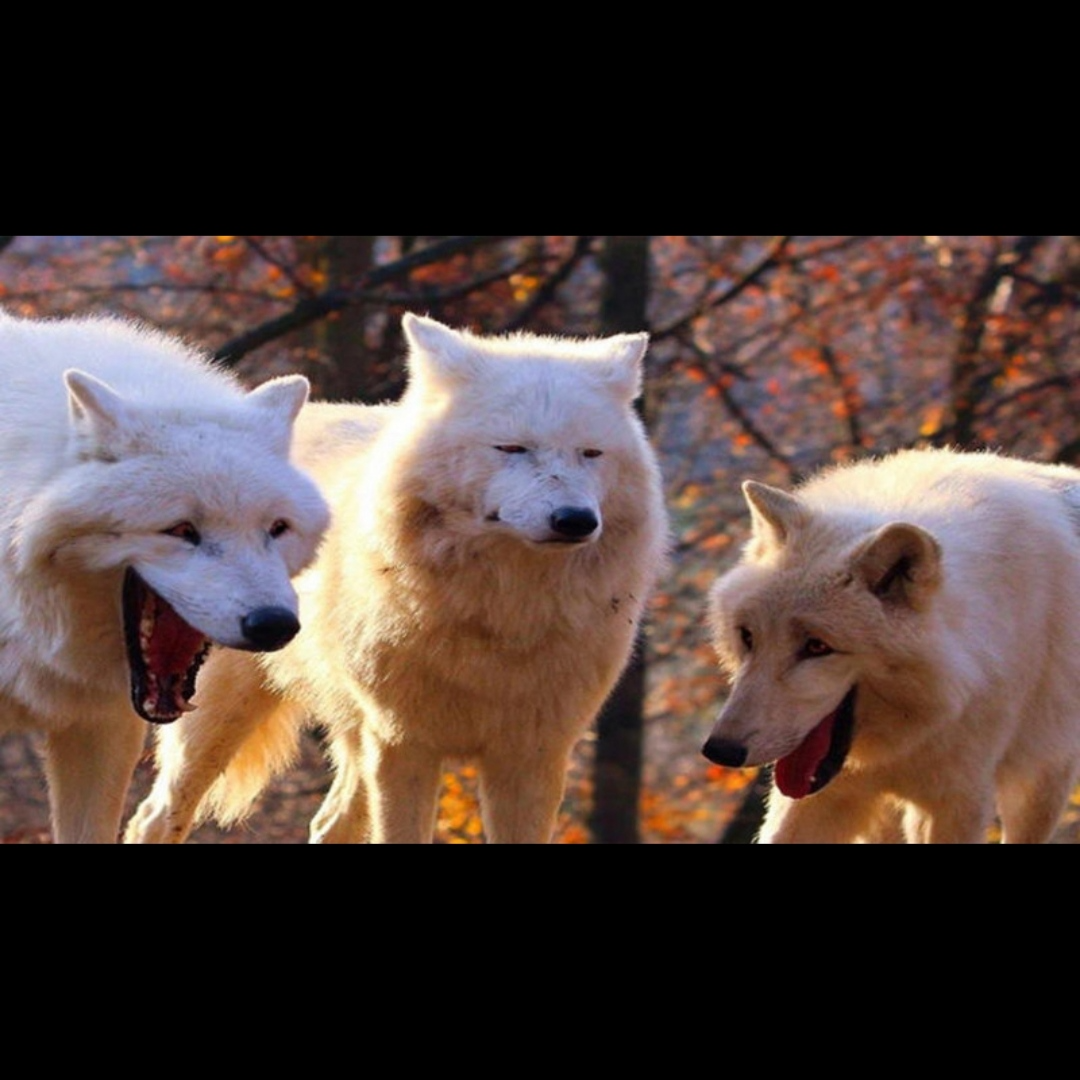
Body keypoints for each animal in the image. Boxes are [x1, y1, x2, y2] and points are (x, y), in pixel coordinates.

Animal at [126, 312, 669, 844]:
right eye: (512, 448)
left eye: (591, 453)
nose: (576, 520)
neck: (505, 615)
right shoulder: (403, 743)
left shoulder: (533, 756)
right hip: (217, 715)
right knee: (154, 817)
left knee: (328, 824)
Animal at [701, 447, 1080, 844]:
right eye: (748, 636)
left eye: (817, 647)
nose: (721, 750)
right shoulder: (821, 793)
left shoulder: (958, 801)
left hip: (1041, 786)